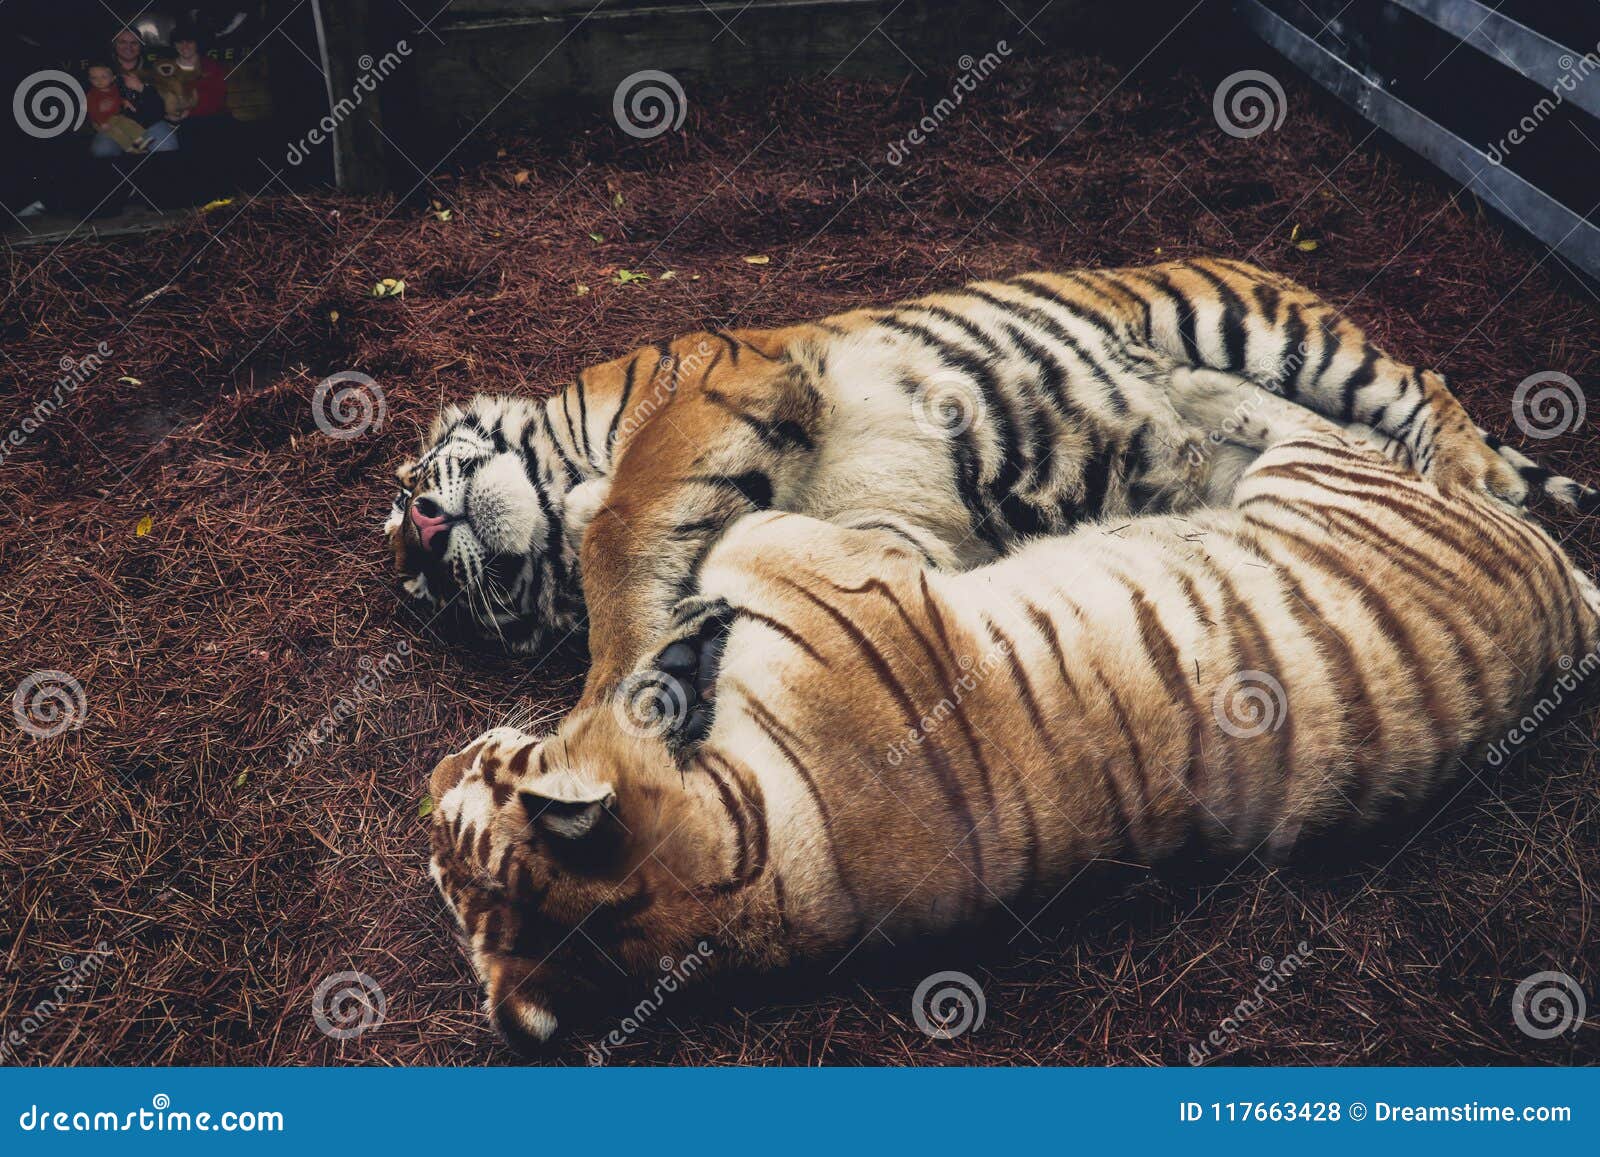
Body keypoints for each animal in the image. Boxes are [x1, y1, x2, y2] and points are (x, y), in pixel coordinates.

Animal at [386, 255, 1596, 696]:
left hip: (1257, 320)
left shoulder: (707, 387)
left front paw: (609, 684)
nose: (427, 534)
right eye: (441, 597)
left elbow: (618, 527)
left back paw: (1468, 474)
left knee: (1425, 385)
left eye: (403, 499)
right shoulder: (891, 529)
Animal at [424, 370, 1600, 1051]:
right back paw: (1189, 388)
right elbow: (723, 538)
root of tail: (1571, 608)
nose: (432, 772)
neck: (723, 873)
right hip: (1316, 479)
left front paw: (595, 525)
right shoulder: (854, 573)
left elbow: (703, 531)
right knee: (1300, 425)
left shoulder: (843, 569)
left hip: (1324, 479)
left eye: (459, 802)